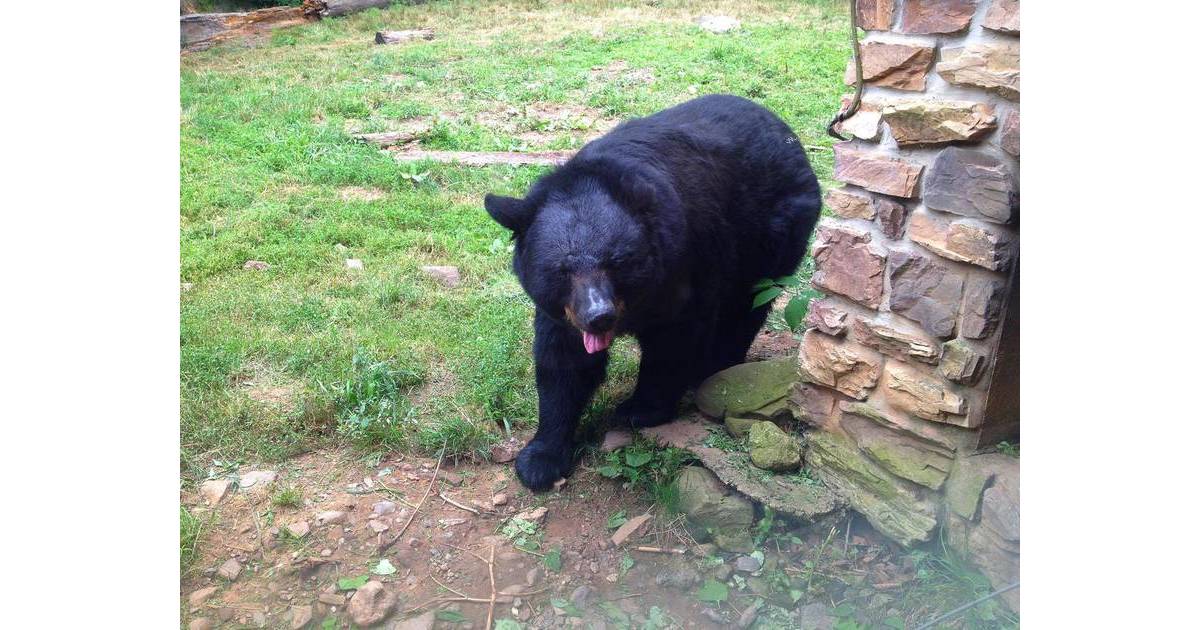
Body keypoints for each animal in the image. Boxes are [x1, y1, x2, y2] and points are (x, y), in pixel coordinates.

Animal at [484, 94, 822, 491]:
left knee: (743, 308)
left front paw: (640, 409)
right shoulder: (564, 309)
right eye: (562, 270)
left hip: (770, 234)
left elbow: (674, 339)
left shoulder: (686, 262)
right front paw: (540, 459)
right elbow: (562, 362)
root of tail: (786, 132)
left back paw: (713, 367)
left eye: (615, 262)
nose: (599, 317)